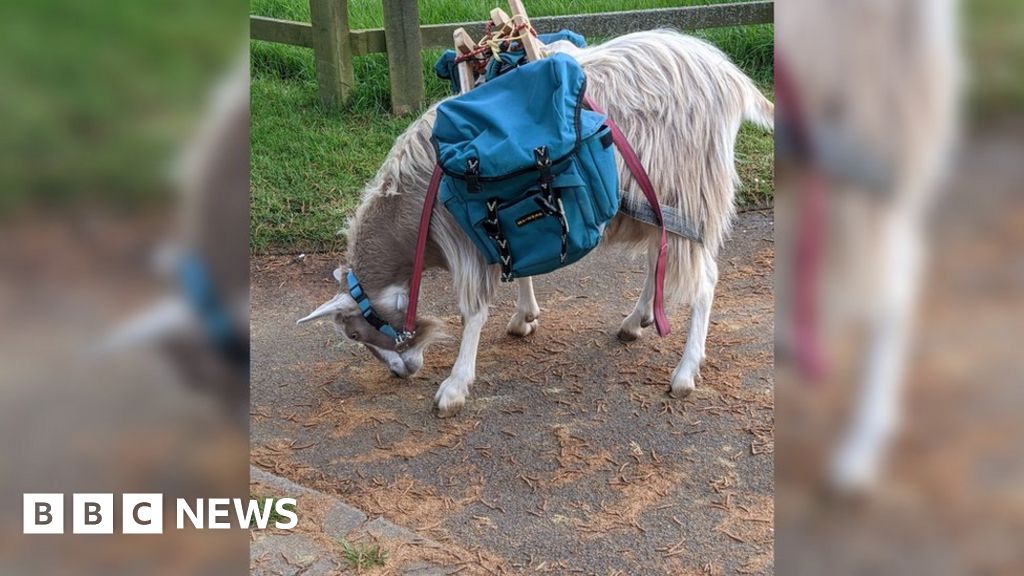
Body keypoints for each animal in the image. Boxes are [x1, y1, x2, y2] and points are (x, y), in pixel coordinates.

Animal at [300, 30, 774, 416]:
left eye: (355, 334)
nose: (402, 373)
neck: (422, 199)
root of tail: (732, 79)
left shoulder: (465, 238)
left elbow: (472, 311)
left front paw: (454, 386)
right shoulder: (498, 225)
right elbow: (520, 268)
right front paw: (524, 317)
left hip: (688, 189)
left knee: (705, 279)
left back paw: (685, 372)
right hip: (657, 201)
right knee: (660, 259)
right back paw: (635, 321)